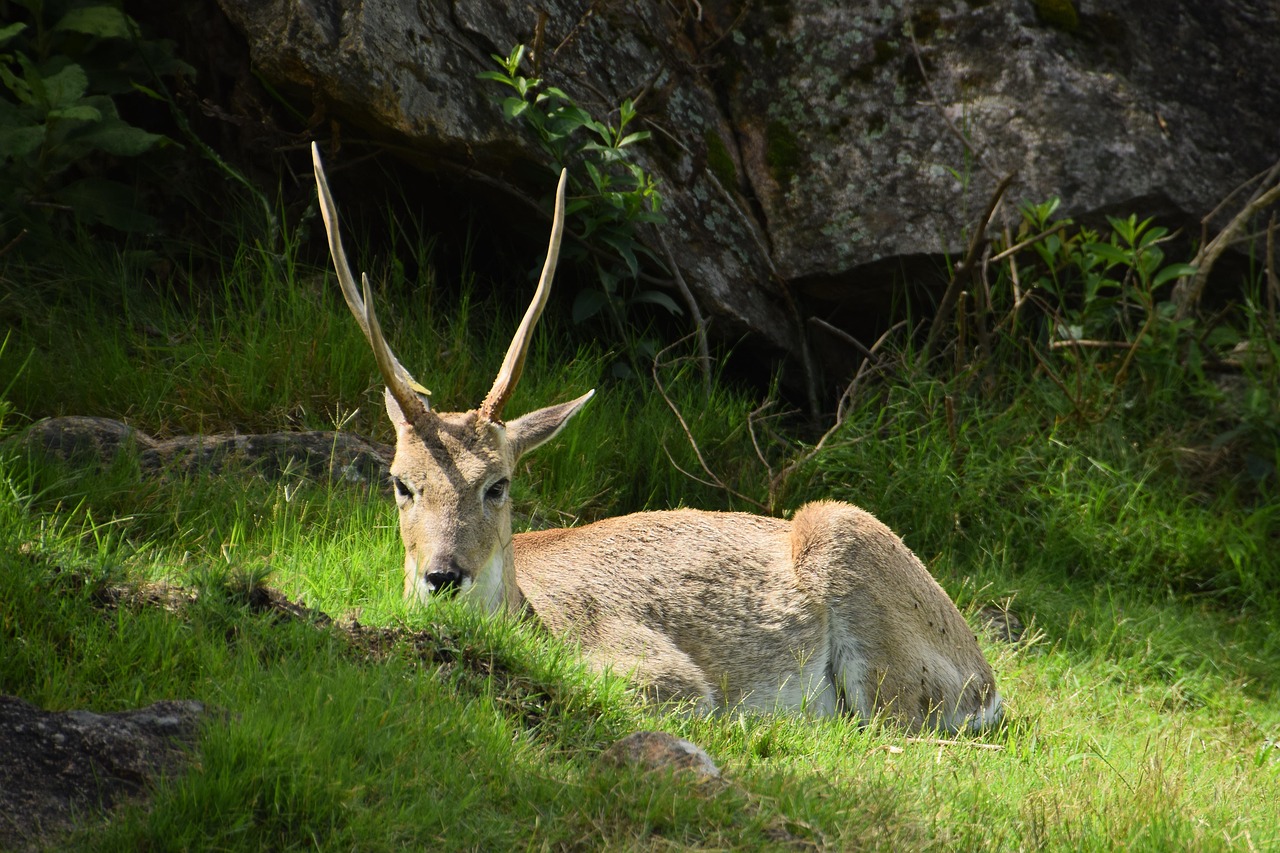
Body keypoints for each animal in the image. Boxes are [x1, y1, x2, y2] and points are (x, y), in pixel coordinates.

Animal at [311, 143, 1002, 732]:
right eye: (400, 483)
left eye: (498, 484)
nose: (443, 576)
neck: (537, 616)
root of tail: (987, 683)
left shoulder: (655, 668)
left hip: (864, 587)